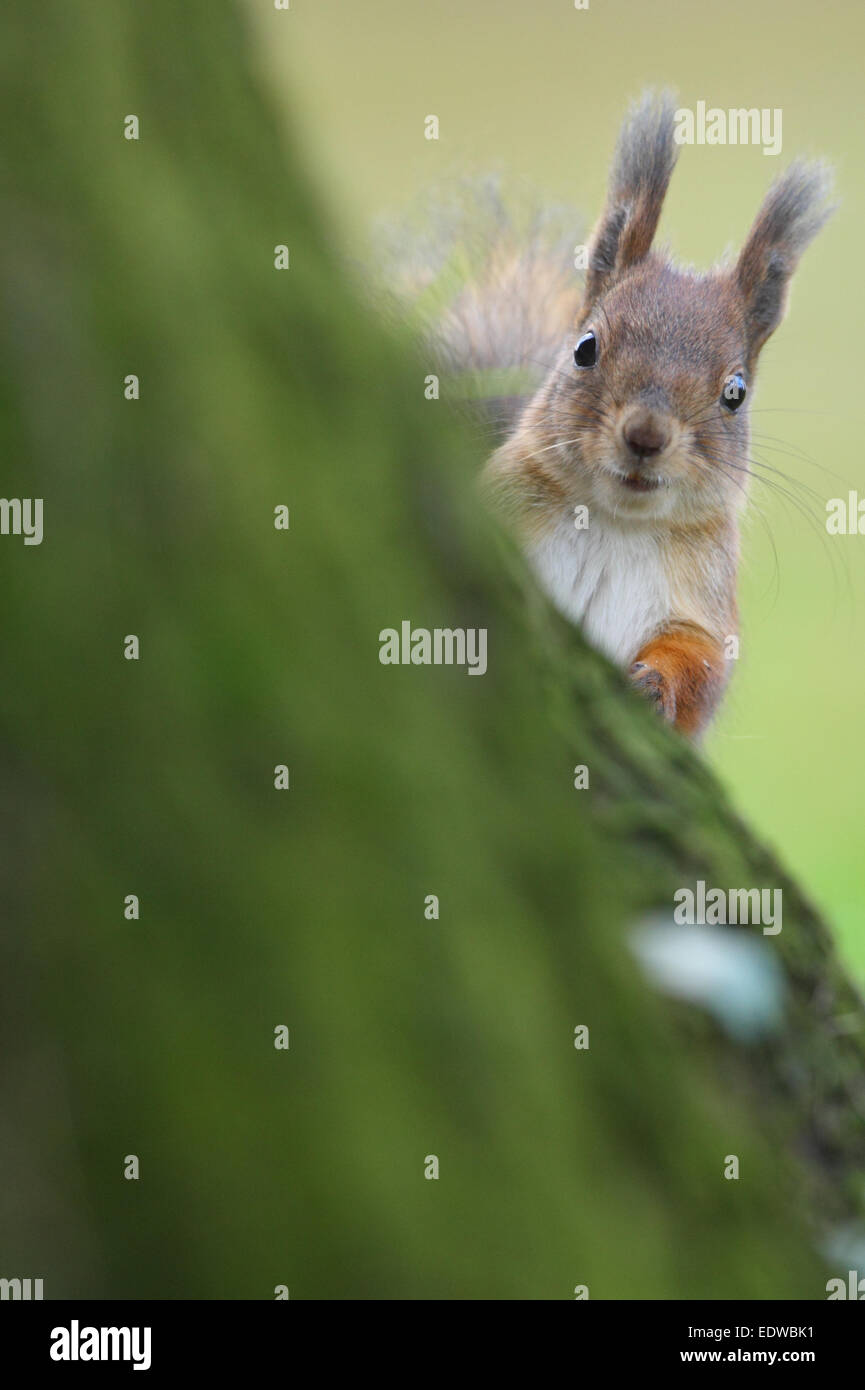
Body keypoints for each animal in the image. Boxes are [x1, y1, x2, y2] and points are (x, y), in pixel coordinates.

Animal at [400, 93, 834, 737]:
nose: (646, 436)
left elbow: (700, 664)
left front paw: (656, 684)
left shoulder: (705, 605)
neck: (613, 523)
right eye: (585, 347)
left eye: (735, 392)